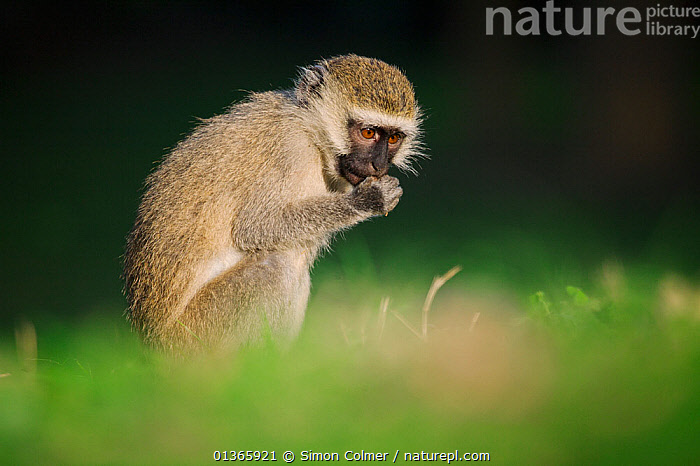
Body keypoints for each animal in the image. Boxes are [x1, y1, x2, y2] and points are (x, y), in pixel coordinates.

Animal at [123, 54, 424, 352]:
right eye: (368, 133)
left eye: (393, 138)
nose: (379, 165)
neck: (311, 133)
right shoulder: (289, 150)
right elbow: (254, 226)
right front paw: (368, 200)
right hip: (195, 334)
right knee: (278, 267)